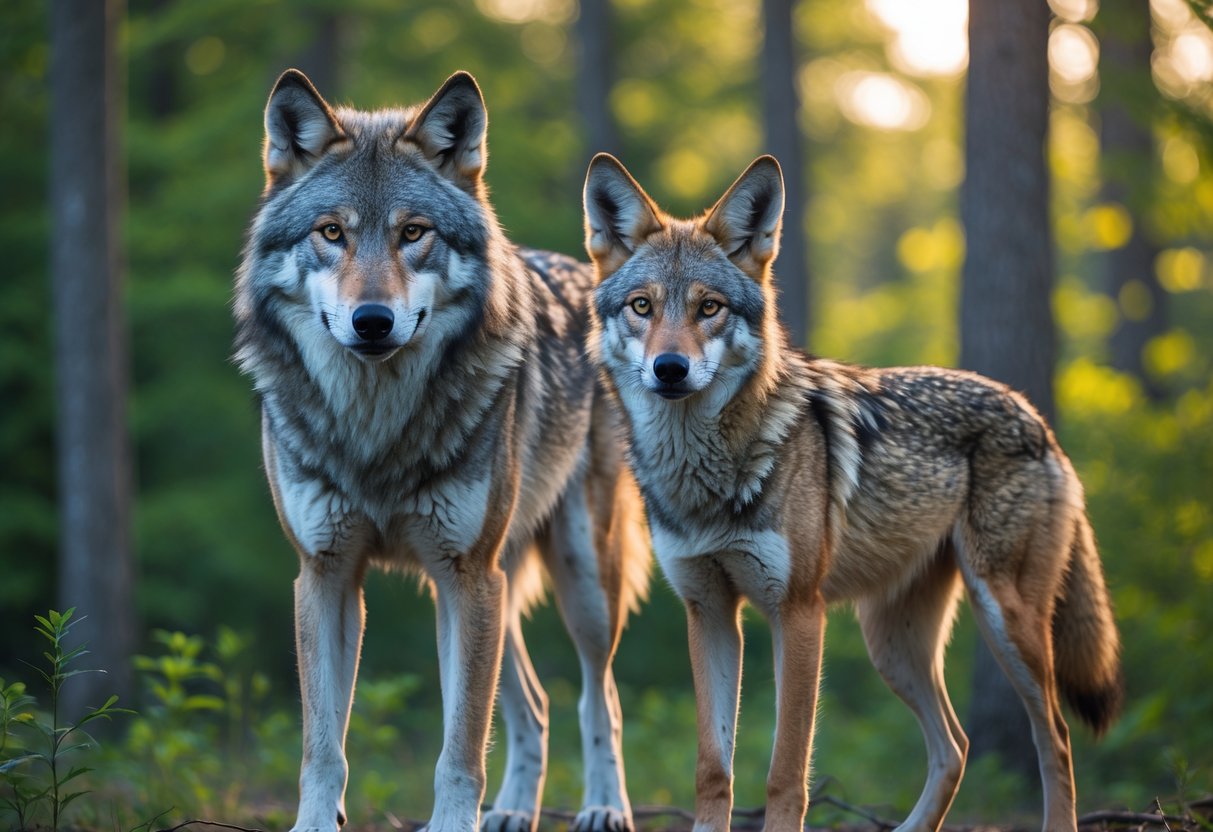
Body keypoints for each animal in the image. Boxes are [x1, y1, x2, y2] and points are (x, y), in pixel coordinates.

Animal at [234, 70, 649, 832]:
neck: (376, 430)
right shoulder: (326, 575)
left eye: (413, 233)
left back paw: (604, 807)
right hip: (488, 590)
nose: (372, 321)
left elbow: (460, 748)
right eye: (331, 232)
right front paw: (315, 821)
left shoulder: (464, 573)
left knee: (596, 696)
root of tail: (595, 279)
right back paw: (512, 812)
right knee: (534, 704)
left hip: (575, 580)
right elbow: (322, 746)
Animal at [582, 153, 1121, 832]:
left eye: (708, 308)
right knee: (956, 746)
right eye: (642, 306)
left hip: (1006, 622)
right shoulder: (709, 612)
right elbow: (713, 770)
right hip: (890, 645)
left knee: (1054, 736)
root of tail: (1033, 415)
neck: (707, 476)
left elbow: (785, 772)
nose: (670, 369)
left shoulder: (798, 613)